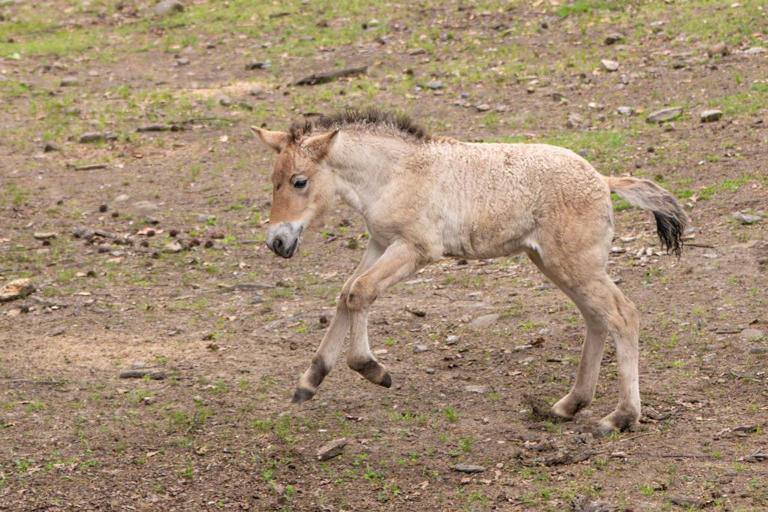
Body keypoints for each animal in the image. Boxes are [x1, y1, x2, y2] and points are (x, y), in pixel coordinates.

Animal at [252, 109, 687, 434]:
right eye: (273, 181)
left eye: (299, 181)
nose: (277, 241)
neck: (396, 173)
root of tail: (602, 179)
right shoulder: (379, 242)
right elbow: (347, 292)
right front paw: (309, 382)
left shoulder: (416, 248)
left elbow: (360, 292)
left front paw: (373, 370)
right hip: (555, 263)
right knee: (597, 319)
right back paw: (568, 405)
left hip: (574, 264)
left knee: (622, 315)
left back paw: (620, 417)